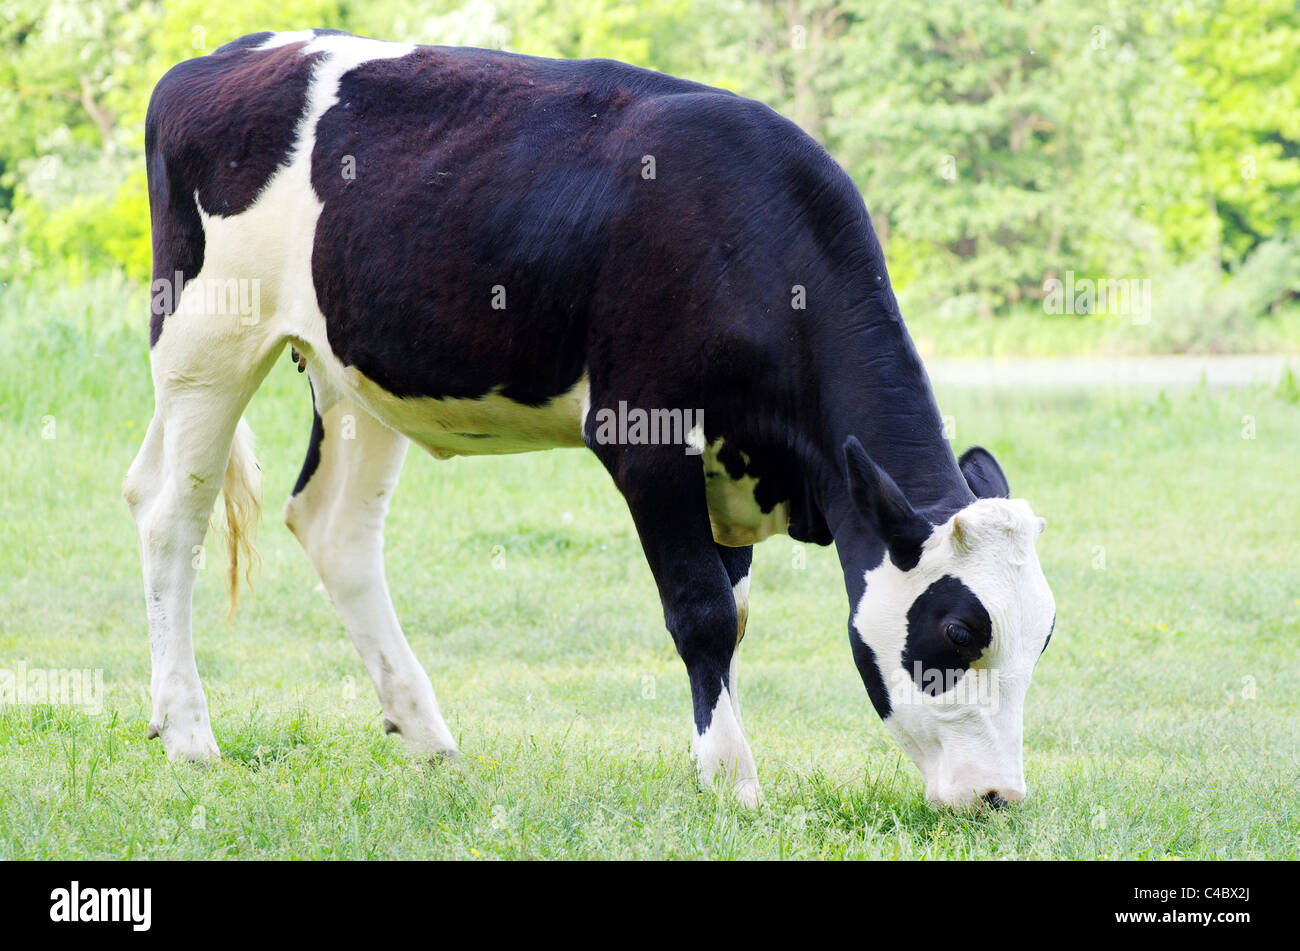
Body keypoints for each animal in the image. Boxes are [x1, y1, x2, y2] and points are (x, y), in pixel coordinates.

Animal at [123, 29, 1056, 810]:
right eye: (957, 630)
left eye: (1042, 636)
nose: (999, 795)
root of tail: (217, 59)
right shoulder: (644, 430)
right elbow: (700, 610)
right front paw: (732, 781)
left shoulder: (726, 467)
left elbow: (733, 615)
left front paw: (704, 757)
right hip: (207, 336)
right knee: (173, 514)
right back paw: (190, 733)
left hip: (351, 374)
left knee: (326, 525)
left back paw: (425, 735)